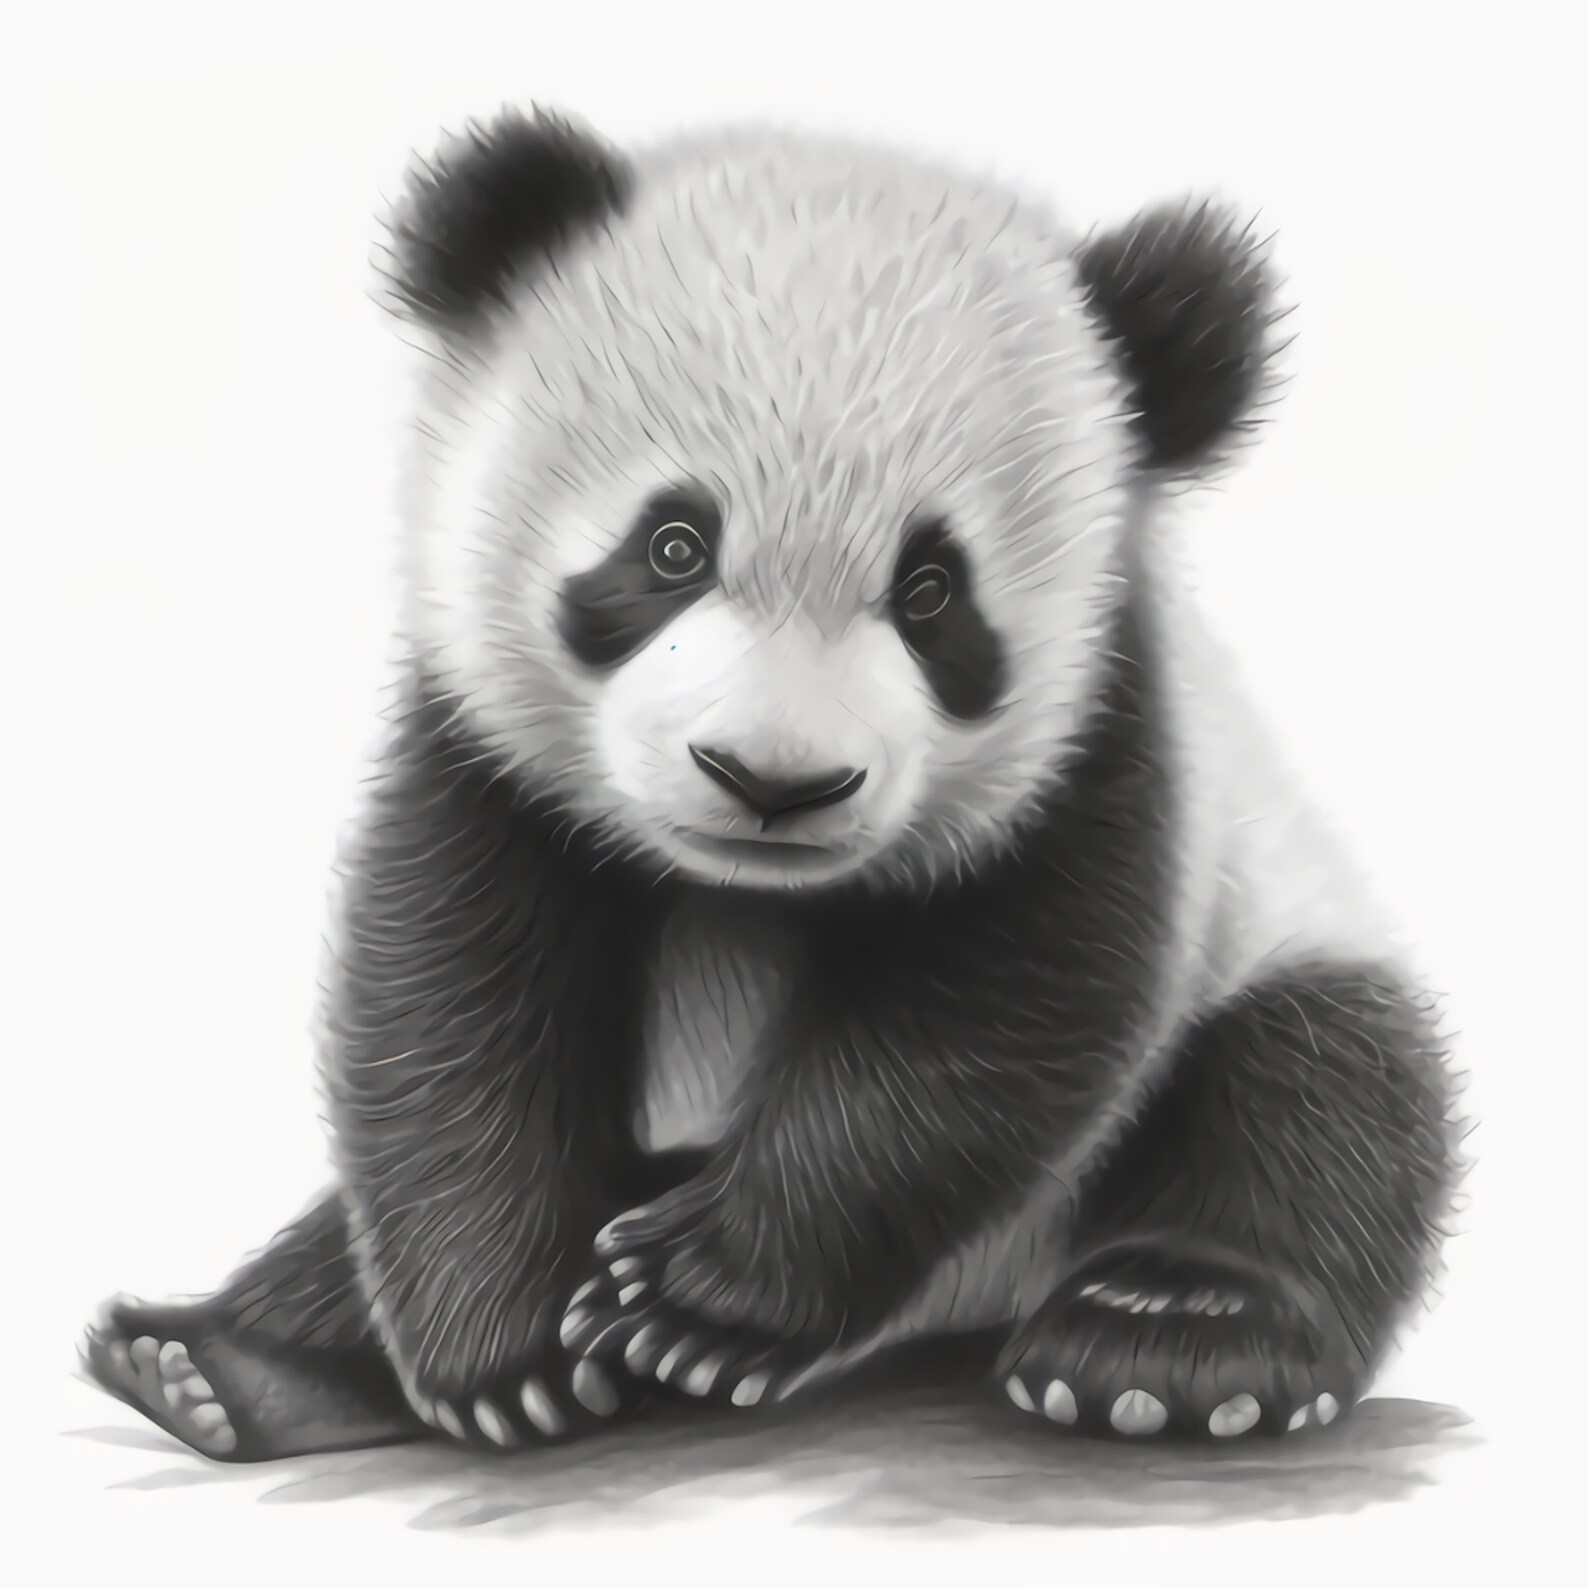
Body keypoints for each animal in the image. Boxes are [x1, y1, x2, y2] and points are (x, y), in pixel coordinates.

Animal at [81, 105, 1461, 1463]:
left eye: (932, 592)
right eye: (670, 546)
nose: (771, 780)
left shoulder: (1107, 743)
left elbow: (993, 1009)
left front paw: (688, 1303)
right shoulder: (487, 740)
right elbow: (450, 994)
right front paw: (507, 1351)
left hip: (1261, 949)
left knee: (1312, 1098)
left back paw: (1157, 1346)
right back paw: (220, 1367)